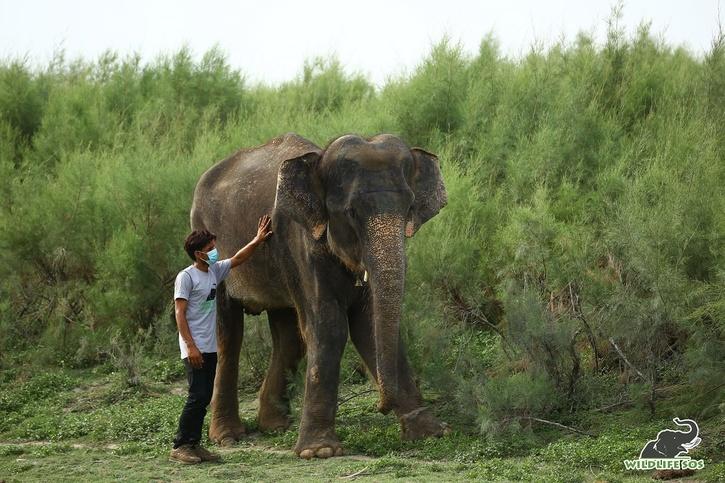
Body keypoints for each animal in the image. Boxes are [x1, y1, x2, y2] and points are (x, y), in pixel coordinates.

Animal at [189, 132, 449, 459]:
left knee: (288, 335)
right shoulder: (301, 243)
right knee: (228, 335)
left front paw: (430, 432)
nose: (381, 406)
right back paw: (227, 436)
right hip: (211, 246)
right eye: (351, 213)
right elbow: (329, 327)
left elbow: (368, 327)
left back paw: (274, 425)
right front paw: (320, 452)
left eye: (409, 208)